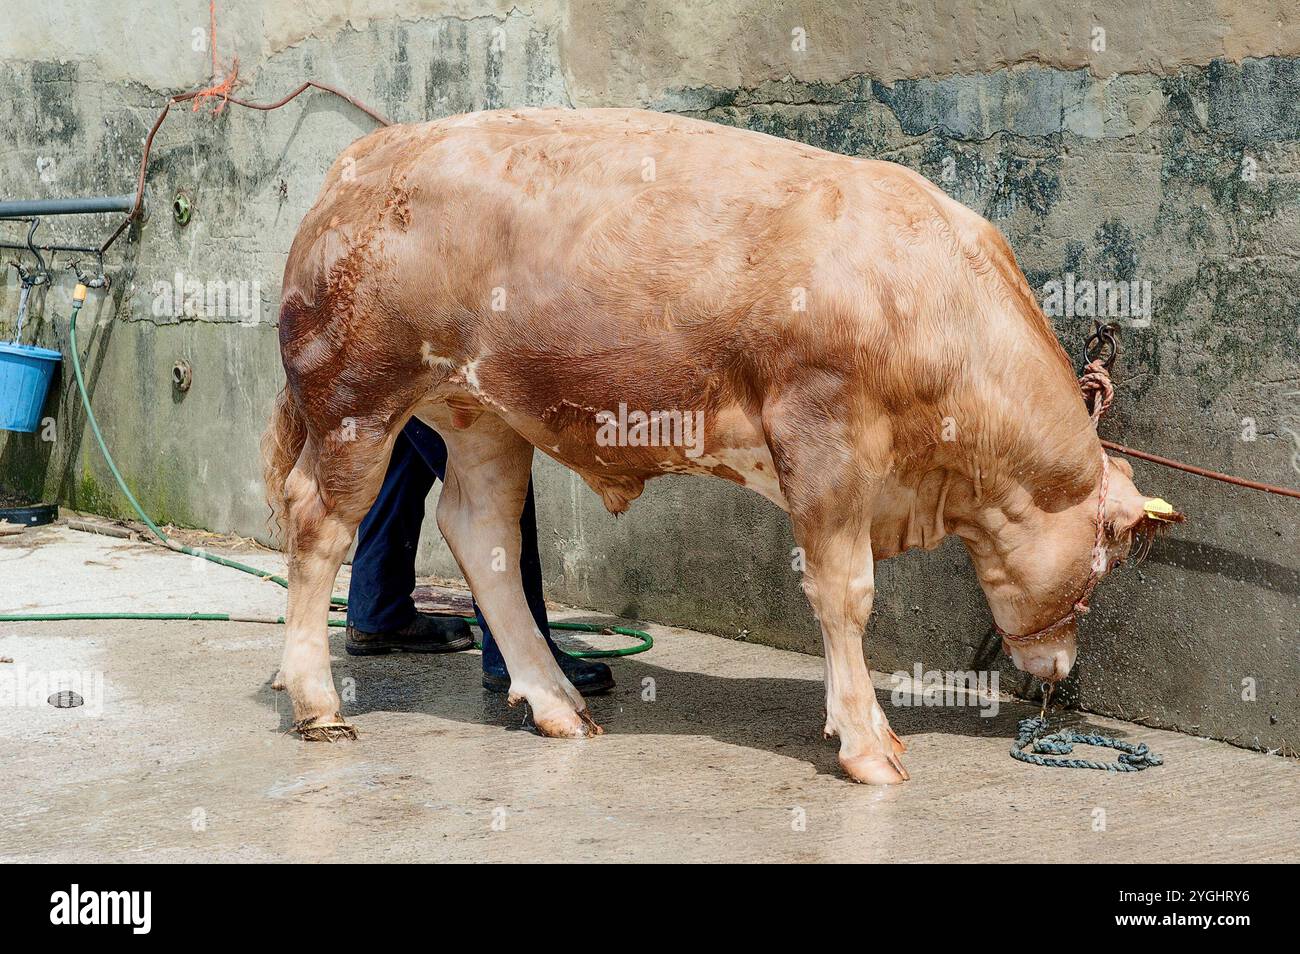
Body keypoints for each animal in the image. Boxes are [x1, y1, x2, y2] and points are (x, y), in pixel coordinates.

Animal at [263, 107, 1181, 784]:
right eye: (1106, 556)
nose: (1059, 673)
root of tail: (365, 154)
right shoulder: (824, 439)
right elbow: (846, 594)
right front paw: (867, 743)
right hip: (356, 399)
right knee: (320, 526)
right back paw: (318, 704)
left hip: (480, 412)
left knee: (480, 534)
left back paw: (557, 699)